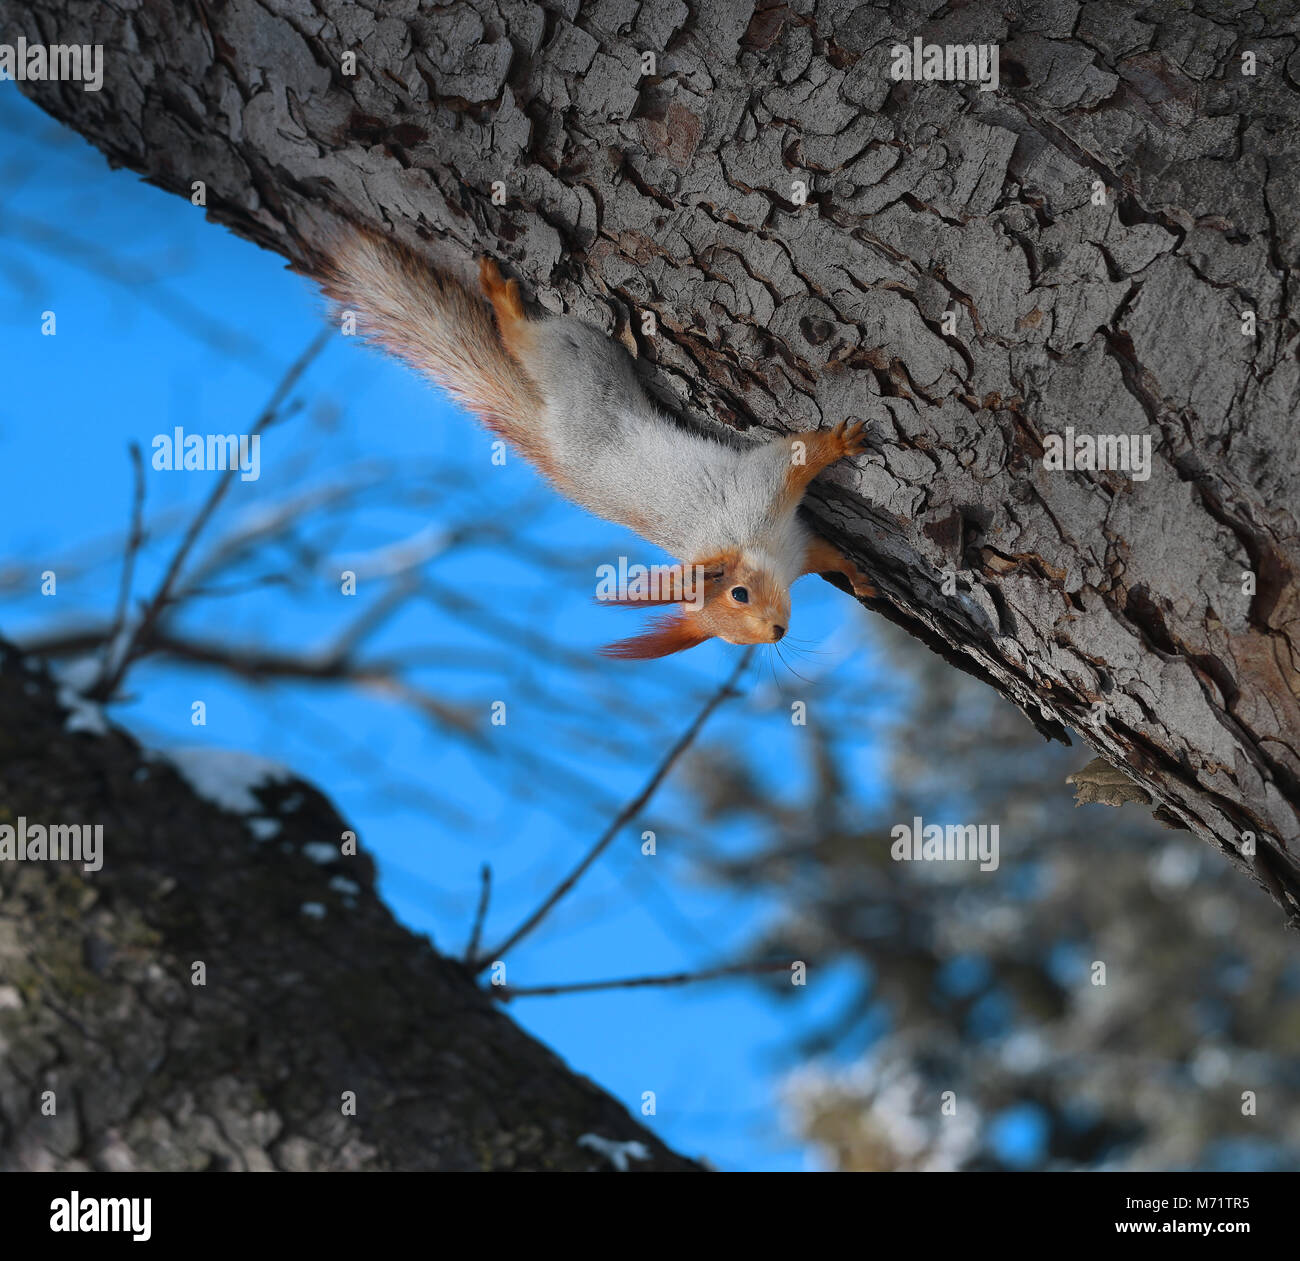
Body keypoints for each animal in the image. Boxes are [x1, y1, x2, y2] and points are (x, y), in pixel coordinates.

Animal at [317, 230, 876, 659]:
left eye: (739, 593)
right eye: (735, 620)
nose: (777, 632)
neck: (765, 549)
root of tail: (551, 435)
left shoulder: (768, 508)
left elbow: (808, 501)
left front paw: (856, 569)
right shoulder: (771, 512)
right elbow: (803, 489)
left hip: (585, 360)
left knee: (529, 340)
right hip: (582, 360)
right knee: (524, 339)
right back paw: (503, 300)